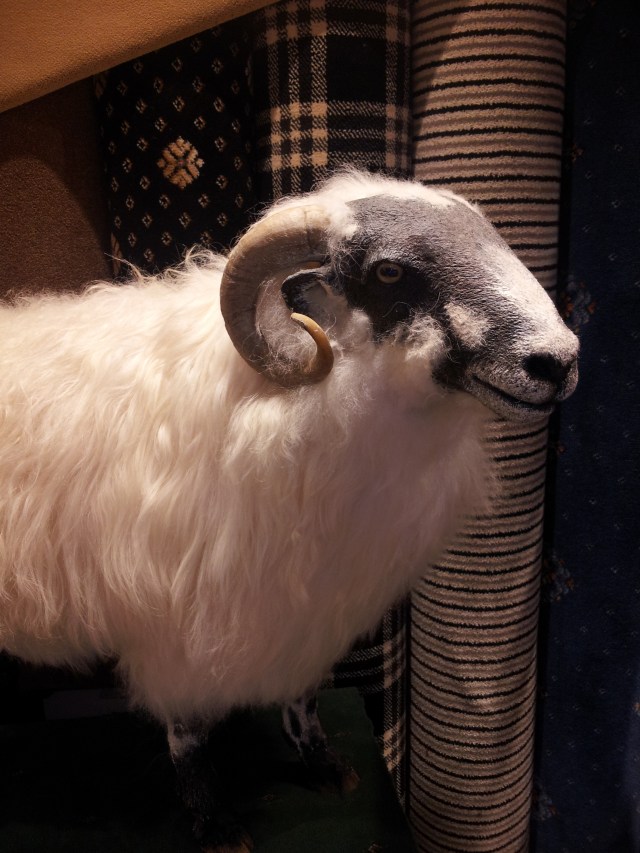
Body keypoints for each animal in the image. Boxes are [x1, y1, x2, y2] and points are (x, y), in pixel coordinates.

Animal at [0, 170, 578, 852]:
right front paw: (214, 822)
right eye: (388, 271)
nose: (558, 361)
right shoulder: (174, 628)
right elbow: (186, 732)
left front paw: (322, 763)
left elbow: (303, 695)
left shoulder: (312, 603)